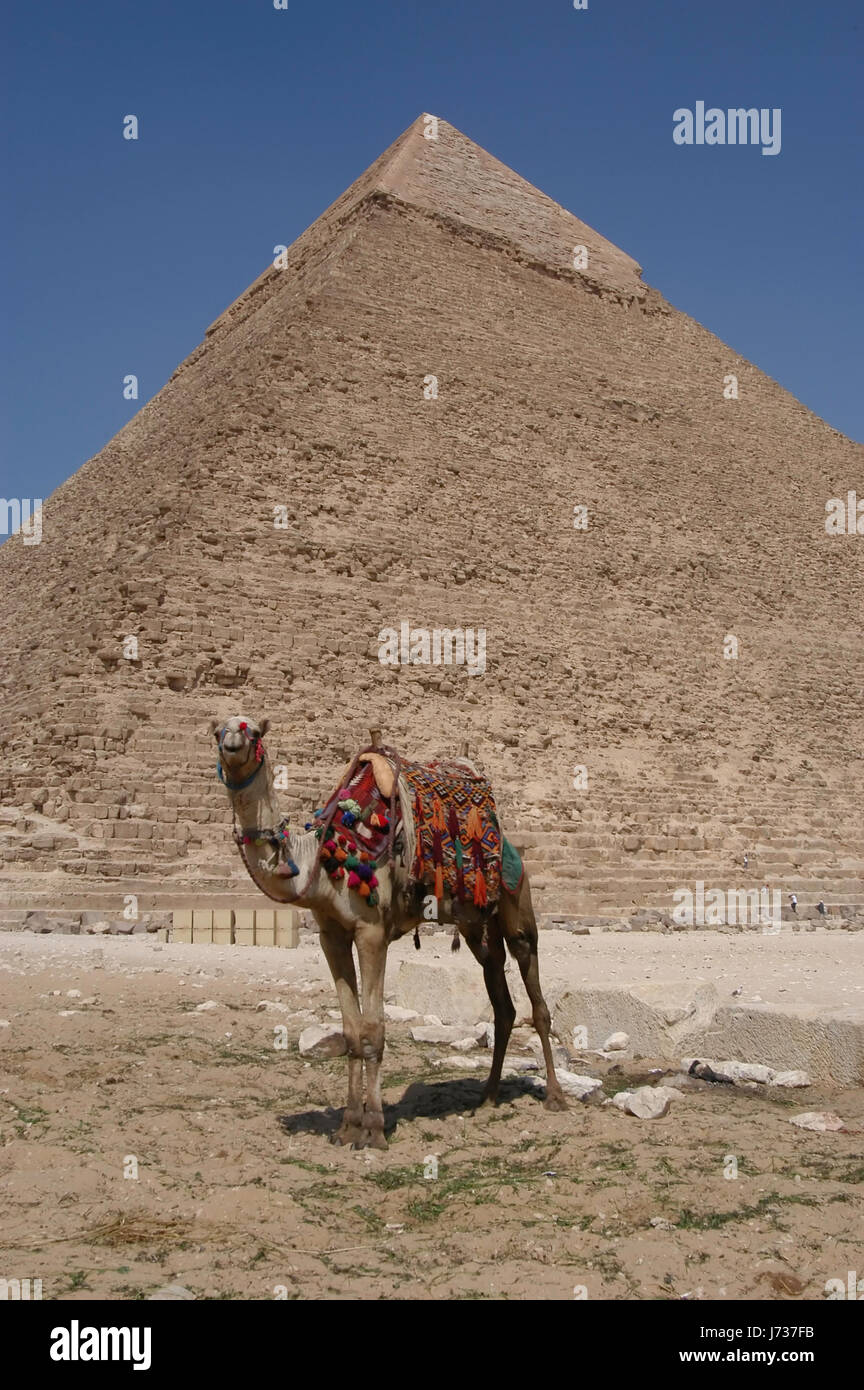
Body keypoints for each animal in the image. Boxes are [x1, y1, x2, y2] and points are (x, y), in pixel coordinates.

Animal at [213, 714, 567, 1149]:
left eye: (254, 732)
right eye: (217, 730)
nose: (231, 744)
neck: (326, 860)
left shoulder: (372, 932)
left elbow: (373, 1031)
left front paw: (376, 1128)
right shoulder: (331, 934)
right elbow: (350, 1030)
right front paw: (348, 1126)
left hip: (518, 904)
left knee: (536, 997)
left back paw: (554, 1096)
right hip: (477, 927)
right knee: (503, 1003)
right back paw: (487, 1096)